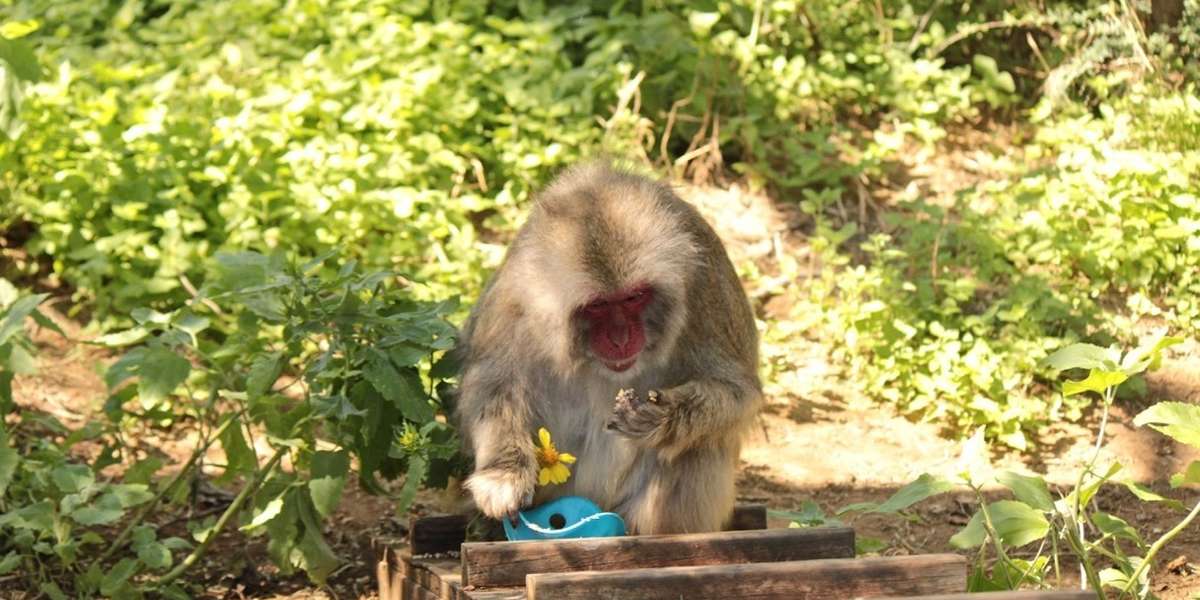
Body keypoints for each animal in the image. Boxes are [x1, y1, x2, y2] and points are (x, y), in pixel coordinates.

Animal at [454, 162, 762, 534]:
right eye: (598, 305)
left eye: (634, 297)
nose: (621, 338)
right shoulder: (513, 296)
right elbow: (492, 384)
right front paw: (504, 475)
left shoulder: (707, 285)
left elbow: (738, 391)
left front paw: (662, 416)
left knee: (700, 444)